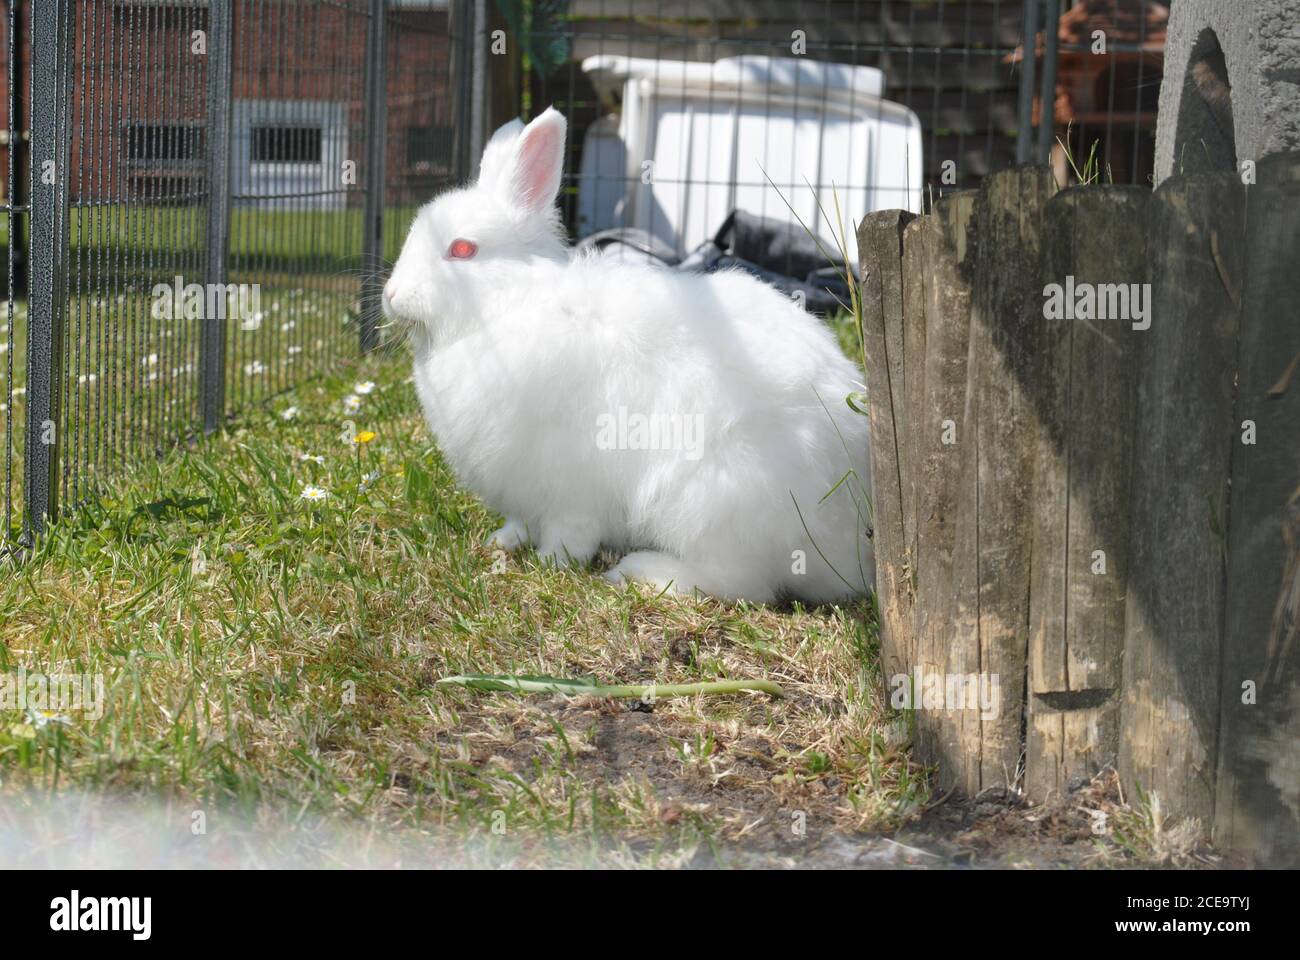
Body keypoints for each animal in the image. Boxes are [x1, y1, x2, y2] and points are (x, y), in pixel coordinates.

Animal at [383, 107, 874, 604]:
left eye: (462, 249)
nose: (391, 295)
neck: (510, 303)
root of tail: (853, 546)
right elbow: (523, 521)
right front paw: (503, 540)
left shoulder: (570, 482)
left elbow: (570, 531)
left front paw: (549, 563)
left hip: (714, 499)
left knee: (739, 582)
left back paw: (641, 571)